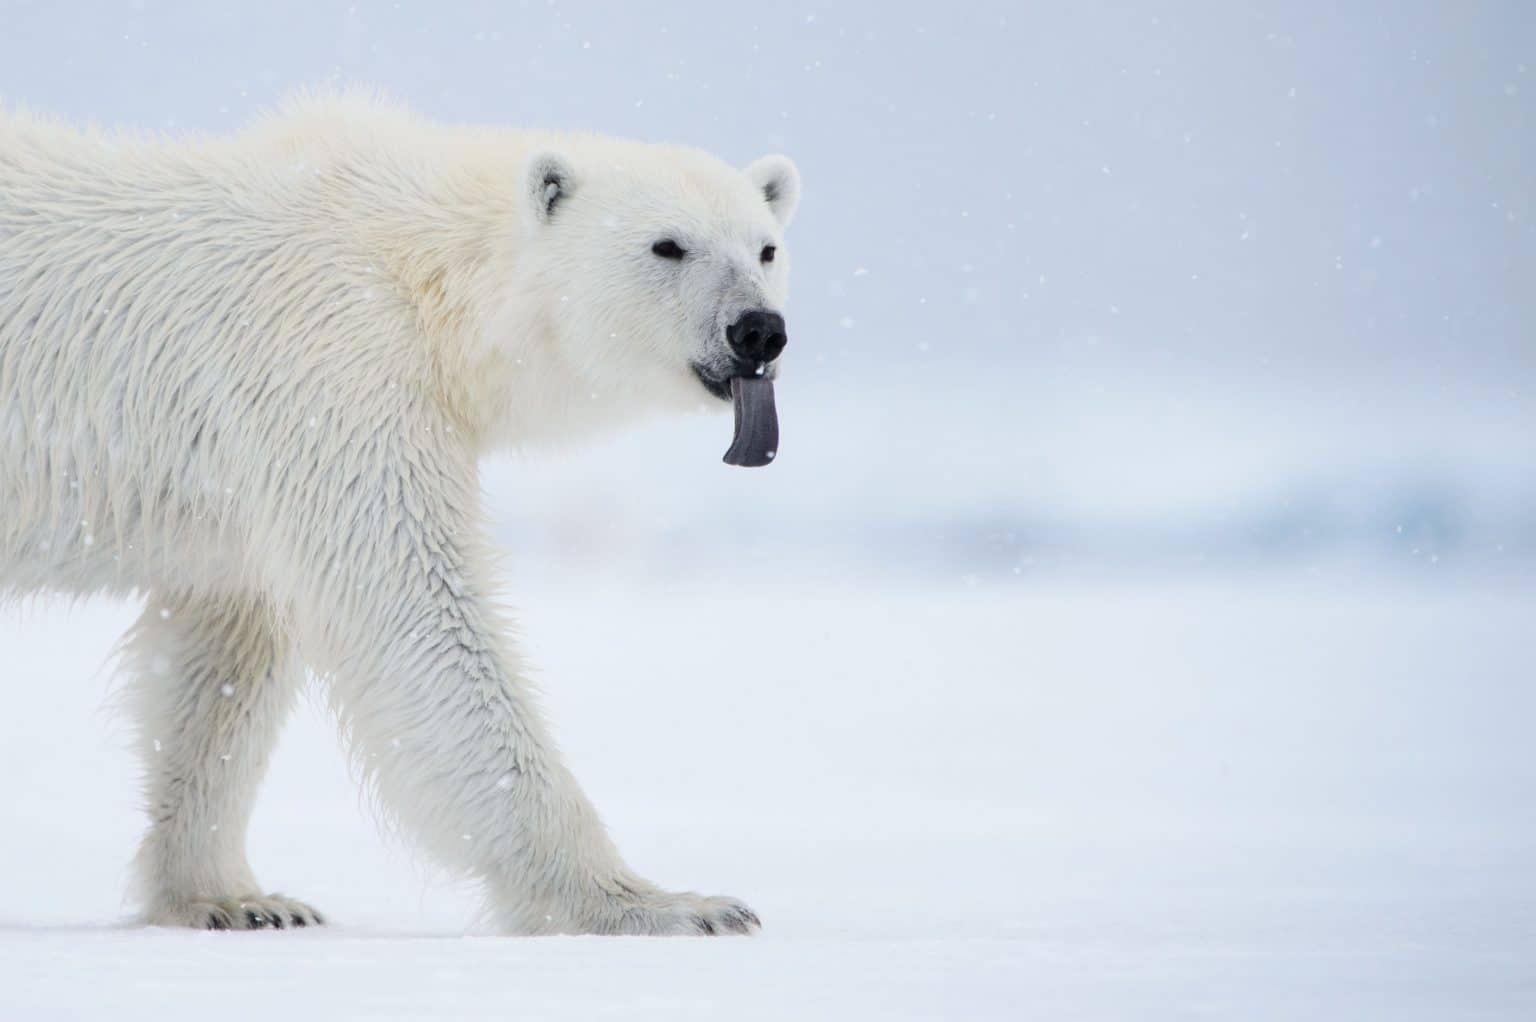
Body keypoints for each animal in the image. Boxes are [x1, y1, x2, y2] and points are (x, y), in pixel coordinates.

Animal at [0, 93, 799, 935]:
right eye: (667, 245)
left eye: (766, 248)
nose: (757, 330)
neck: (419, 262)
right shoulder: (332, 360)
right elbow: (413, 612)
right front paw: (668, 905)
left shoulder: (239, 483)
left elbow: (223, 655)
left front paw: (236, 899)